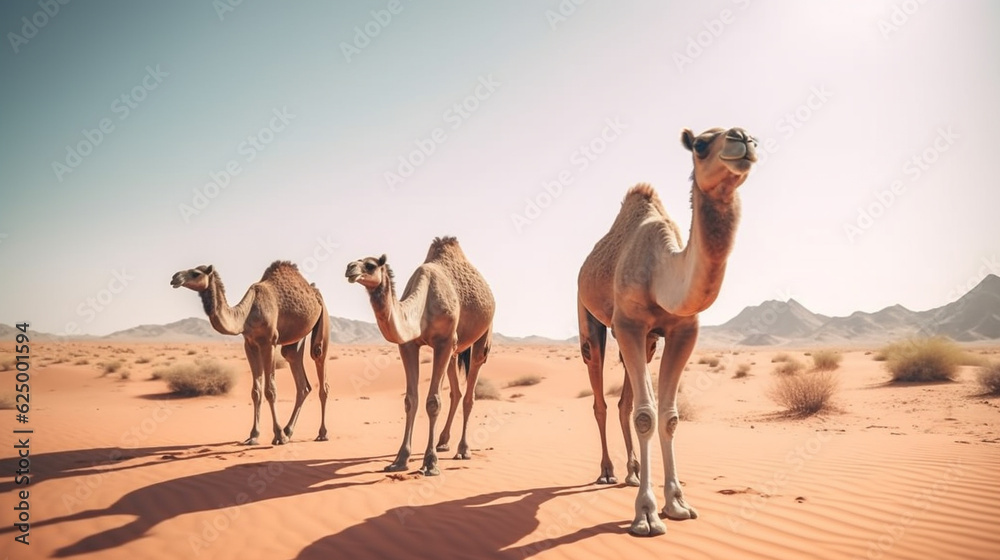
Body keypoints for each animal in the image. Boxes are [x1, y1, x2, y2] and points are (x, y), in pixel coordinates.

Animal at [170, 261, 331, 445]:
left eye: (195, 273)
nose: (175, 278)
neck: (246, 315)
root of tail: (315, 292)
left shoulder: (269, 342)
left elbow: (270, 390)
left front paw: (278, 436)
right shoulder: (250, 344)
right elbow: (256, 391)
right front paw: (253, 436)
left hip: (323, 320)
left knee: (319, 361)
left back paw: (322, 433)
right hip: (295, 339)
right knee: (298, 374)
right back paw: (289, 431)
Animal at [345, 236, 495, 476]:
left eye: (370, 265)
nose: (350, 268)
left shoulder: (444, 341)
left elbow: (433, 401)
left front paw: (430, 463)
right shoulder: (408, 345)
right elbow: (410, 399)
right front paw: (399, 460)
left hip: (482, 335)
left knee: (471, 391)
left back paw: (463, 450)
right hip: (454, 350)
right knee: (456, 392)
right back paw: (443, 442)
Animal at [577, 127, 758, 536]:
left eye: (754, 138)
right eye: (701, 144)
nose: (742, 138)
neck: (661, 272)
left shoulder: (682, 330)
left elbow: (669, 415)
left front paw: (677, 503)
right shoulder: (628, 324)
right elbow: (646, 414)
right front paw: (646, 514)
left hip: (645, 342)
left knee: (624, 402)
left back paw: (631, 471)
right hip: (590, 319)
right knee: (600, 397)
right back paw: (608, 471)